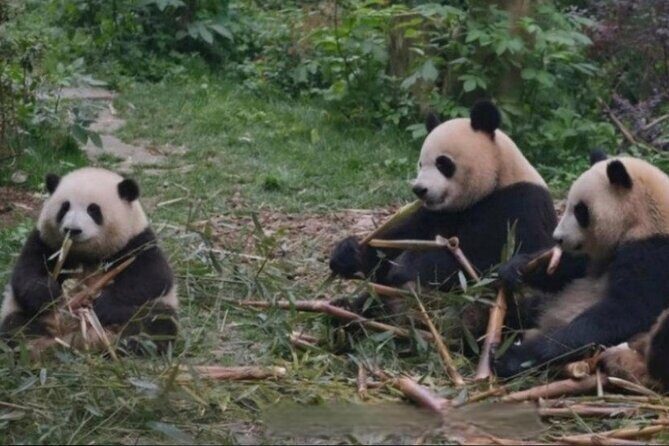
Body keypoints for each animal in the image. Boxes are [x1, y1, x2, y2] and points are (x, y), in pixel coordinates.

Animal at [0, 167, 177, 353]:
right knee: (16, 326)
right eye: (64, 208)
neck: (87, 254)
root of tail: (82, 339)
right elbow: (26, 273)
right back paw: (32, 346)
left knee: (156, 321)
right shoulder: (45, 242)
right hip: (21, 312)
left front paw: (104, 305)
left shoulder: (137, 241)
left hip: (148, 310)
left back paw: (131, 343)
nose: (72, 229)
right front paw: (47, 293)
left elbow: (152, 278)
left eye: (93, 210)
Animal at [329, 101, 557, 321]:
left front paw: (407, 266)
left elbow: (488, 261)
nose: (419, 189)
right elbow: (389, 249)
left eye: (443, 163)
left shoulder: (522, 203)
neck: (495, 182)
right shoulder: (434, 213)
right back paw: (344, 312)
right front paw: (347, 254)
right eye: (421, 163)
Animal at [495, 153, 669, 377]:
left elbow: (628, 310)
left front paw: (516, 357)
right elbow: (571, 267)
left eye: (580, 211)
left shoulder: (655, 253)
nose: (558, 238)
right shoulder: (598, 253)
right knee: (524, 309)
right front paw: (515, 267)